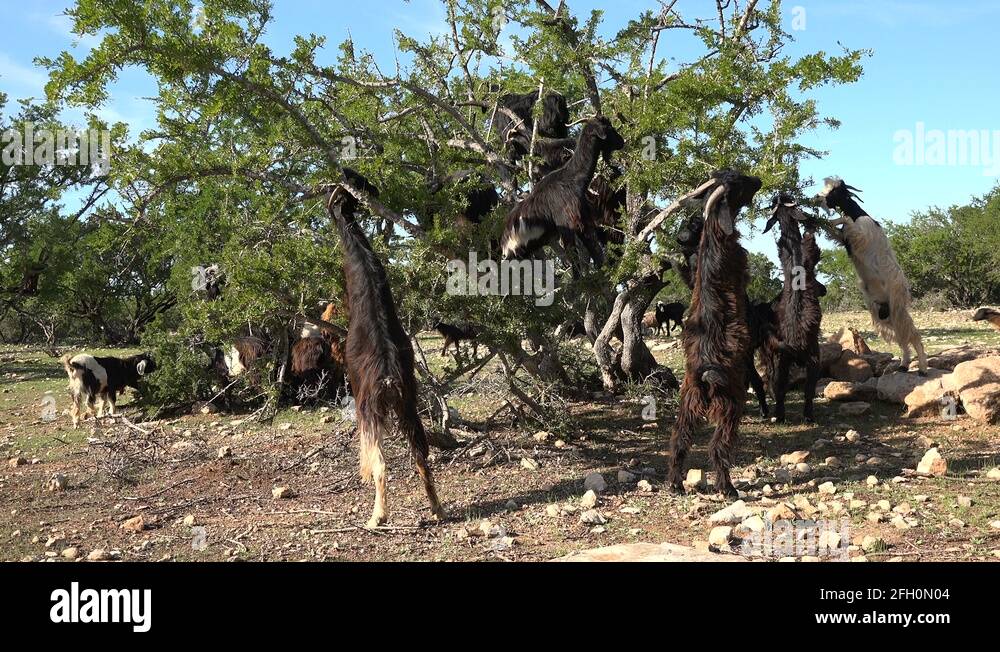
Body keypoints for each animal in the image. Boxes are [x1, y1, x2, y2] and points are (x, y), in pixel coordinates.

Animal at [327, 171, 444, 528]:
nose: (373, 190)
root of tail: (389, 376)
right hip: (408, 406)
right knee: (421, 454)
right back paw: (438, 508)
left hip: (371, 409)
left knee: (381, 464)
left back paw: (376, 516)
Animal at [501, 116, 625, 269]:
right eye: (607, 128)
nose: (621, 142)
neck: (570, 177)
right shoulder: (569, 222)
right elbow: (575, 256)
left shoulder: (582, 220)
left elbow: (594, 253)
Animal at [668, 170, 761, 497]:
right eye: (738, 184)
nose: (758, 181)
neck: (712, 237)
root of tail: (705, 372)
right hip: (730, 405)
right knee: (718, 446)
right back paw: (728, 487)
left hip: (688, 403)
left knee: (680, 440)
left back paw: (675, 484)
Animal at [817, 177, 927, 375]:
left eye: (836, 191)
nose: (817, 198)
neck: (858, 214)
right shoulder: (844, 237)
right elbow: (834, 229)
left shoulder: (861, 235)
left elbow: (843, 219)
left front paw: (834, 219)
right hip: (883, 313)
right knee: (902, 337)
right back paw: (903, 365)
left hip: (897, 307)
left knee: (912, 334)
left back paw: (921, 367)